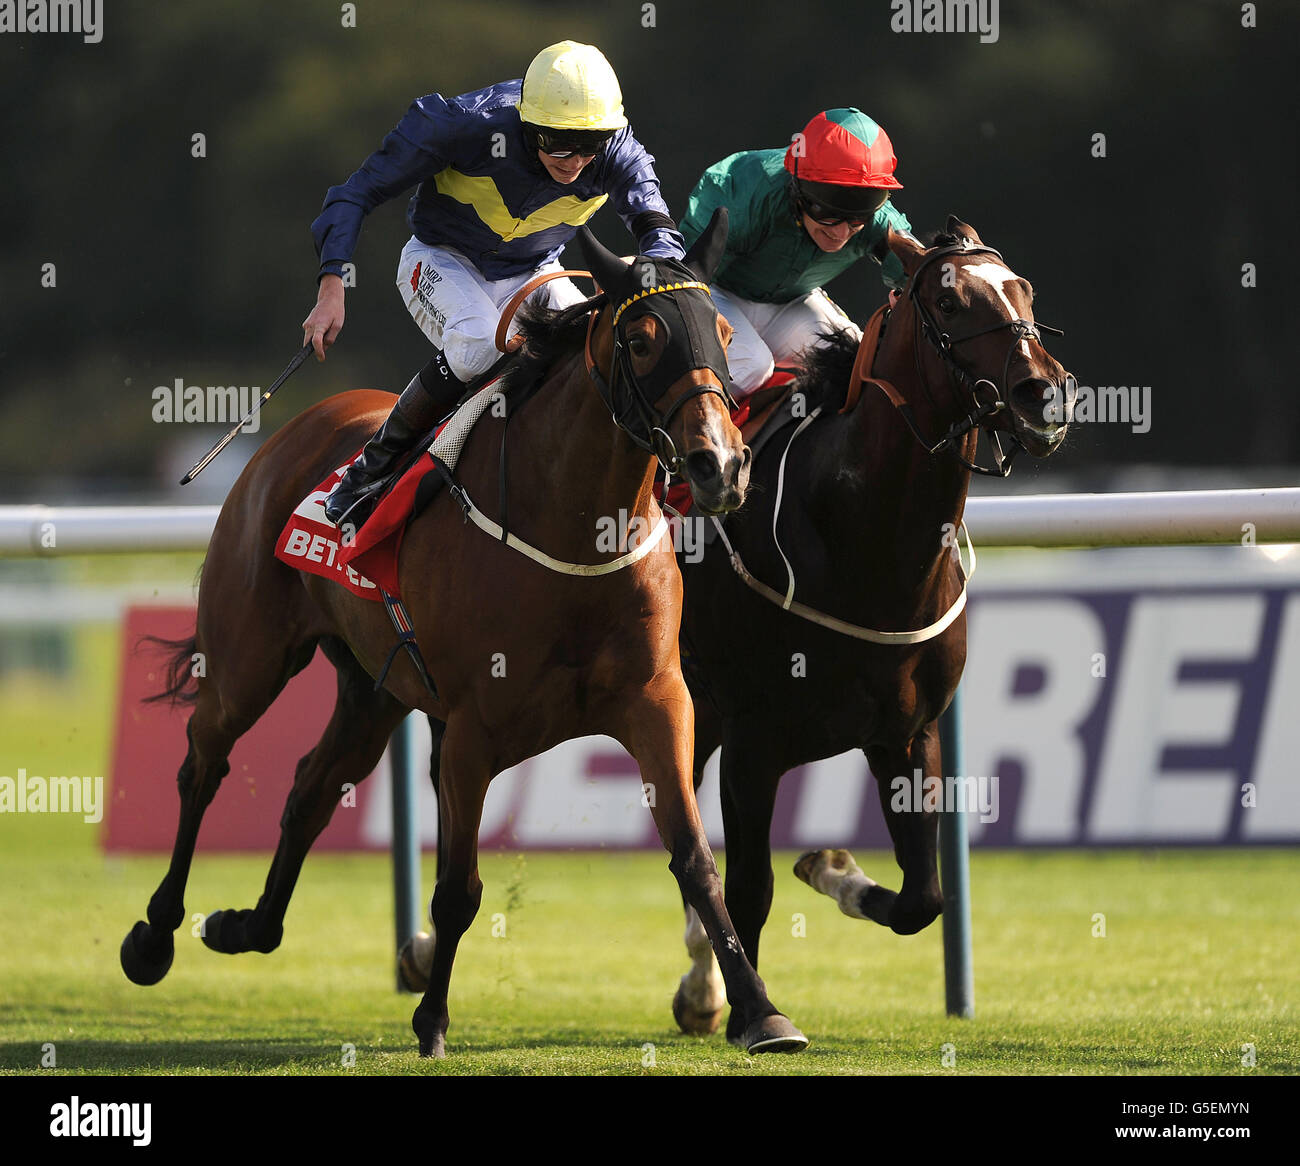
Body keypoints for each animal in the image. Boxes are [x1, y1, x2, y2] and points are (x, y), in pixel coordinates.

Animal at [119, 210, 810, 1058]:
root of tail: (295, 430)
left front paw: (759, 1010)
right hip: (249, 656)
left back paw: (245, 925)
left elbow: (695, 860)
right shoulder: (472, 729)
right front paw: (433, 1020)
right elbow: (458, 888)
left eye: (722, 330)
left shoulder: (658, 705)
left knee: (312, 787)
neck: (574, 531)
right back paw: (155, 934)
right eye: (643, 338)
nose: (720, 466)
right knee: (204, 762)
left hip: (374, 687)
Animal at [667, 217, 1077, 1042]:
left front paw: (833, 867)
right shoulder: (756, 738)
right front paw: (756, 1015)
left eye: (1024, 288)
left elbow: (924, 897)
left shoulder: (908, 731)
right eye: (949, 301)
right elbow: (748, 884)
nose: (1043, 393)